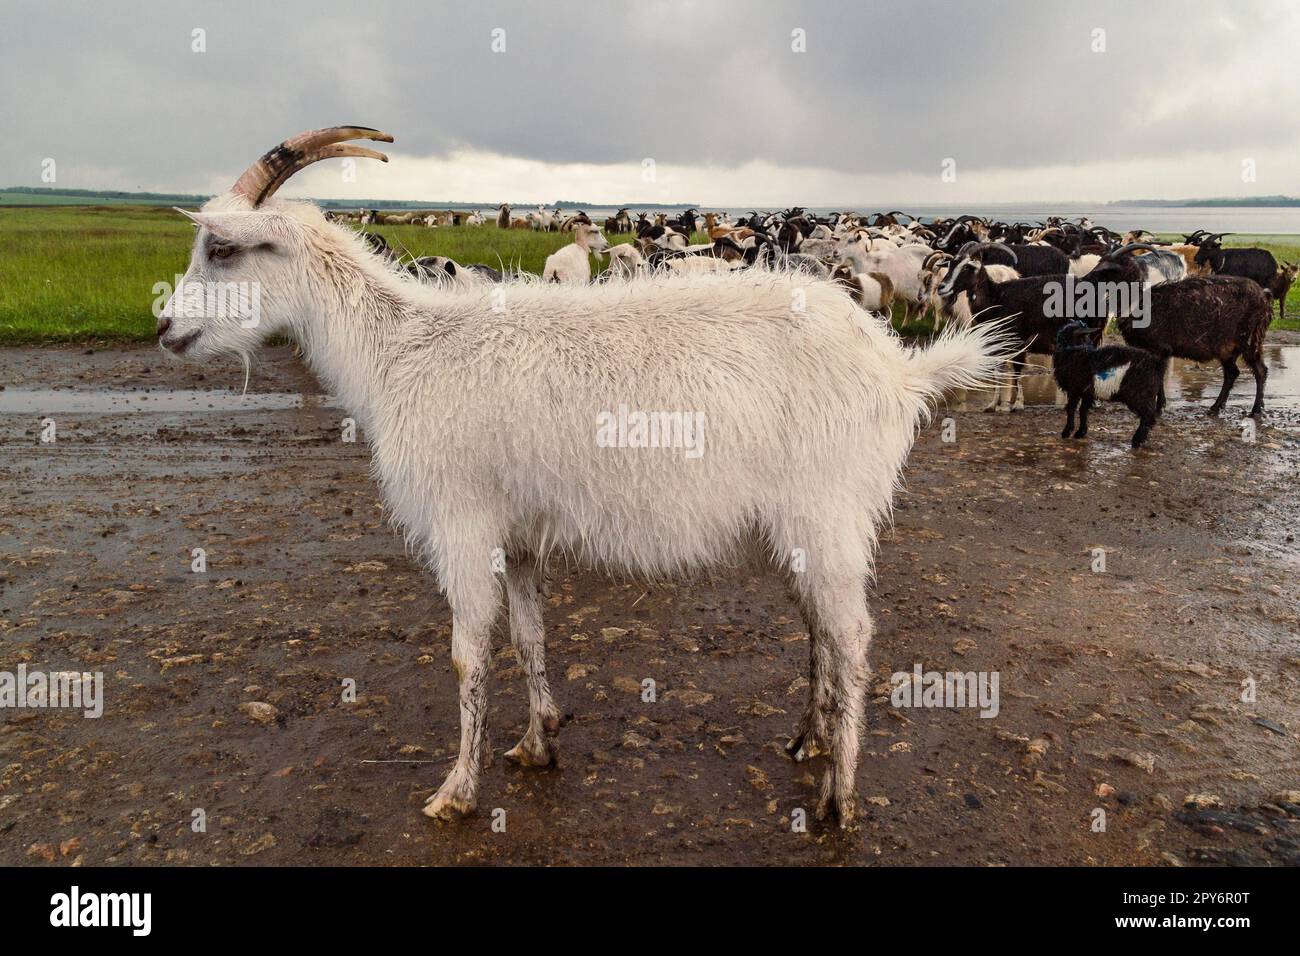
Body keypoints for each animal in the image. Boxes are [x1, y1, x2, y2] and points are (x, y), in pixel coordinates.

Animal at [157, 126, 1007, 827]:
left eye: (223, 249)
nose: (165, 328)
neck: (402, 348)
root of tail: (897, 369)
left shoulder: (462, 522)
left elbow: (468, 655)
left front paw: (455, 793)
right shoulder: (518, 536)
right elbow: (529, 637)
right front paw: (539, 741)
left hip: (828, 515)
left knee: (853, 638)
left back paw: (841, 797)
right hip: (806, 531)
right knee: (823, 635)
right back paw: (810, 743)